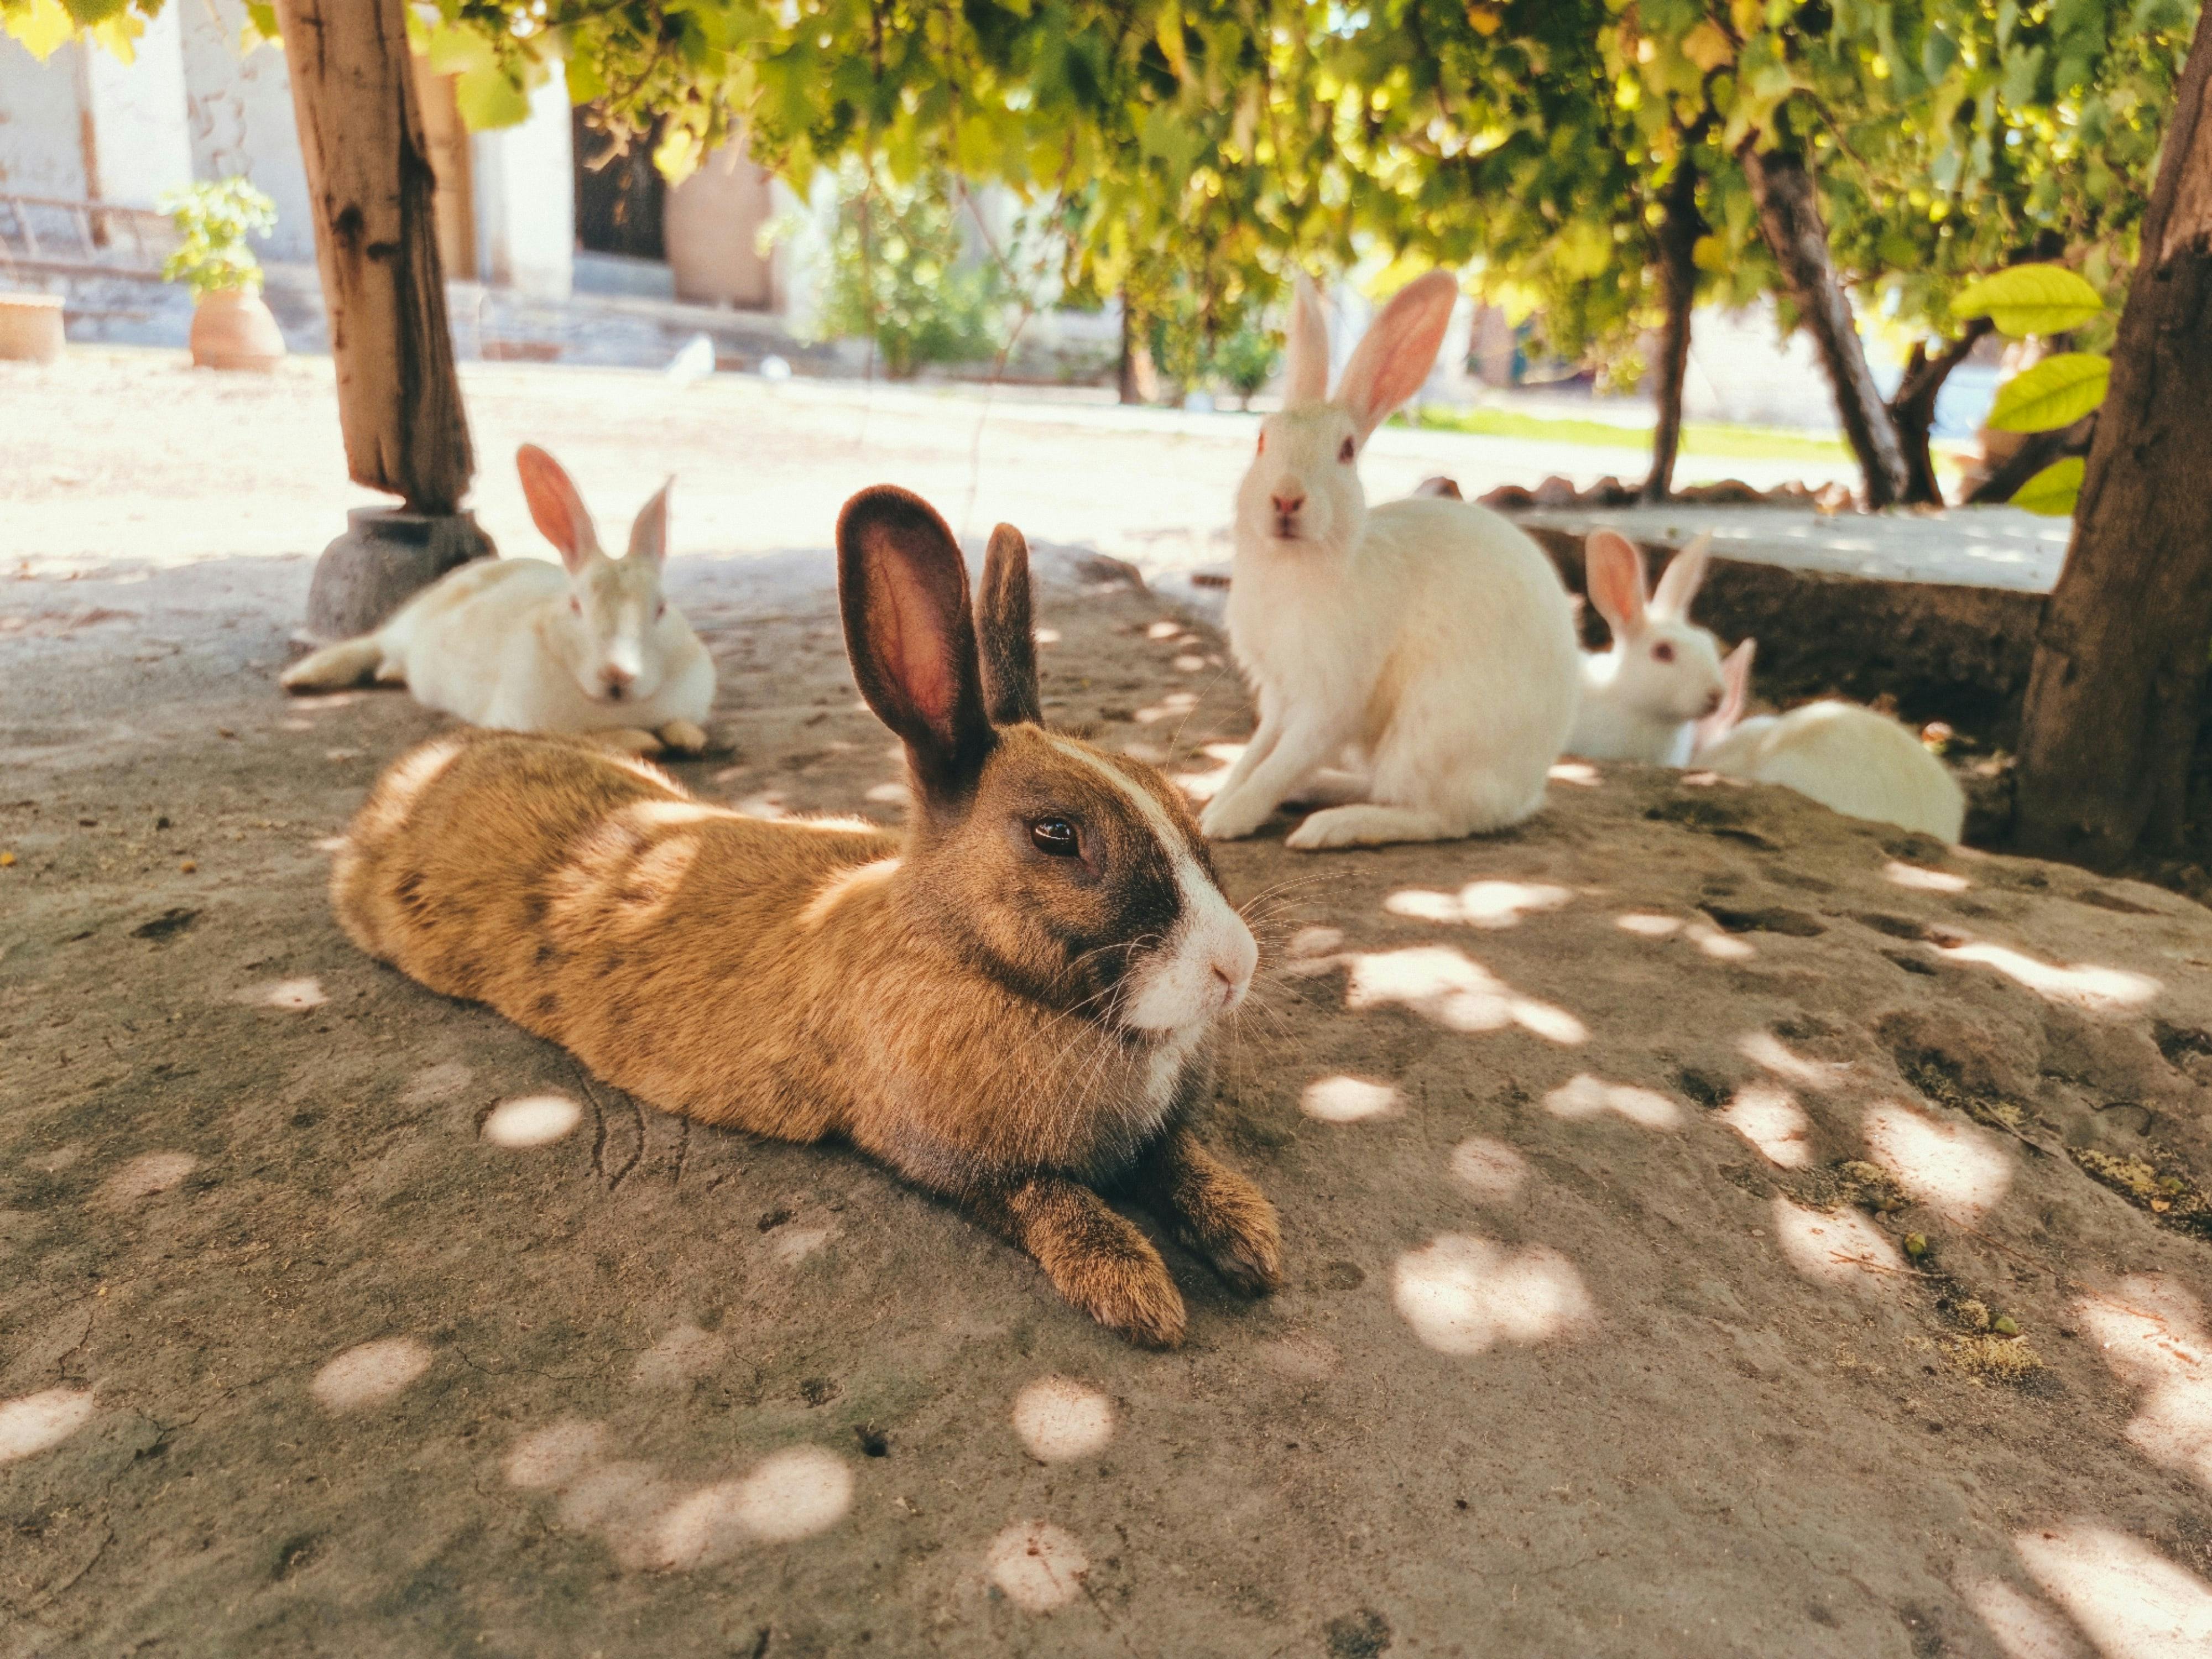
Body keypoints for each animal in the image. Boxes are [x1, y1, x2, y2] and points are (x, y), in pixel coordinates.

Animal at [280, 445, 715, 758]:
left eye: (661, 608)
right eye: (577, 606)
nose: (618, 675)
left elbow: (683, 724)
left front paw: (688, 739)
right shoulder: (529, 722)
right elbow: (609, 738)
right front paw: (647, 742)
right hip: (402, 634)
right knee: (371, 647)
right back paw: (303, 678)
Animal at [329, 485, 1277, 1348]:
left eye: (1169, 794)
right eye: (1057, 835)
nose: (1237, 967)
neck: (967, 959)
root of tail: (415, 775)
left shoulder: (1153, 1139)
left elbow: (1179, 1157)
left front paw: (1252, 1241)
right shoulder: (950, 1161)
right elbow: (1052, 1201)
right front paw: (1139, 1296)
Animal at [1200, 271, 1582, 849]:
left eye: (1346, 451)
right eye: (1263, 439)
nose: (1286, 500)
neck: (1295, 567)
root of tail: (1526, 792)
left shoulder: (1330, 701)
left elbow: (1278, 765)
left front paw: (1226, 821)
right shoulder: (1278, 696)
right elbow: (1255, 756)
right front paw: (1214, 805)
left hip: (1430, 734)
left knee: (1435, 817)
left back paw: (1331, 827)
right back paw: (1317, 793)